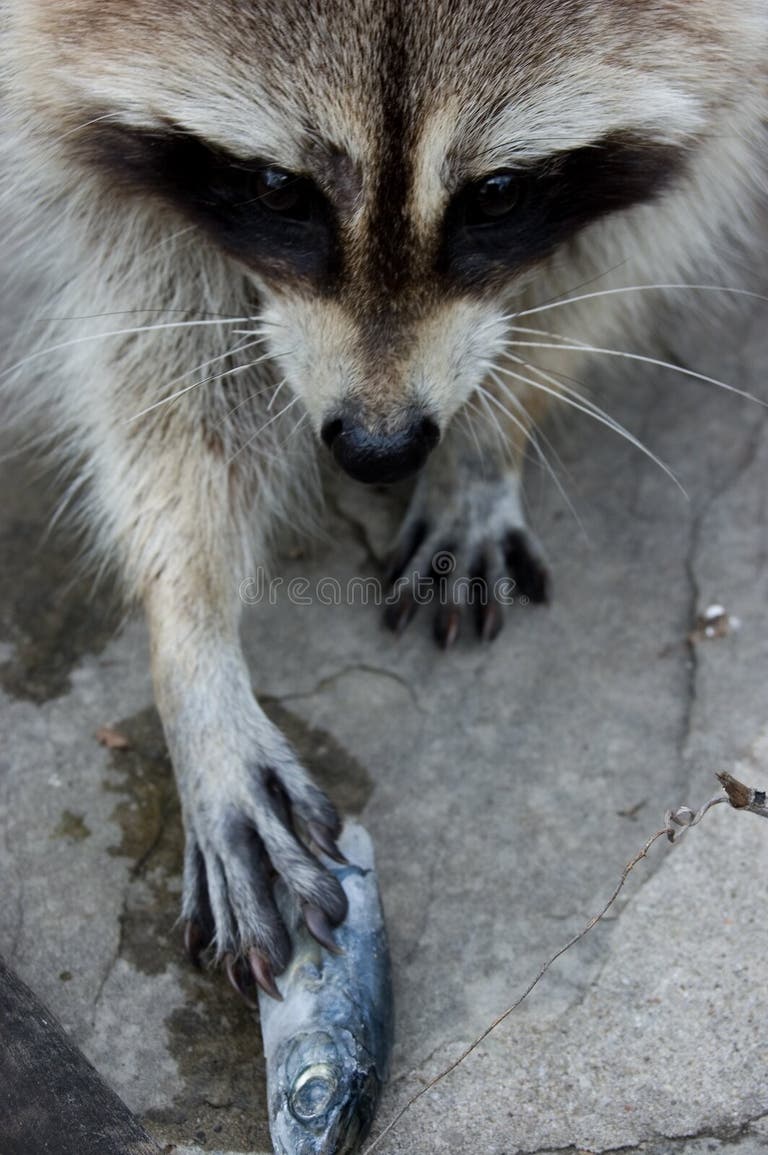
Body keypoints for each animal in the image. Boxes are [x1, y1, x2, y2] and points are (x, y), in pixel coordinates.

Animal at [1, 0, 766, 1000]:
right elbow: (164, 363)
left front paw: (487, 438)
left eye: (499, 193)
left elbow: (612, 259)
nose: (379, 448)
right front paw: (190, 644)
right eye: (277, 188)